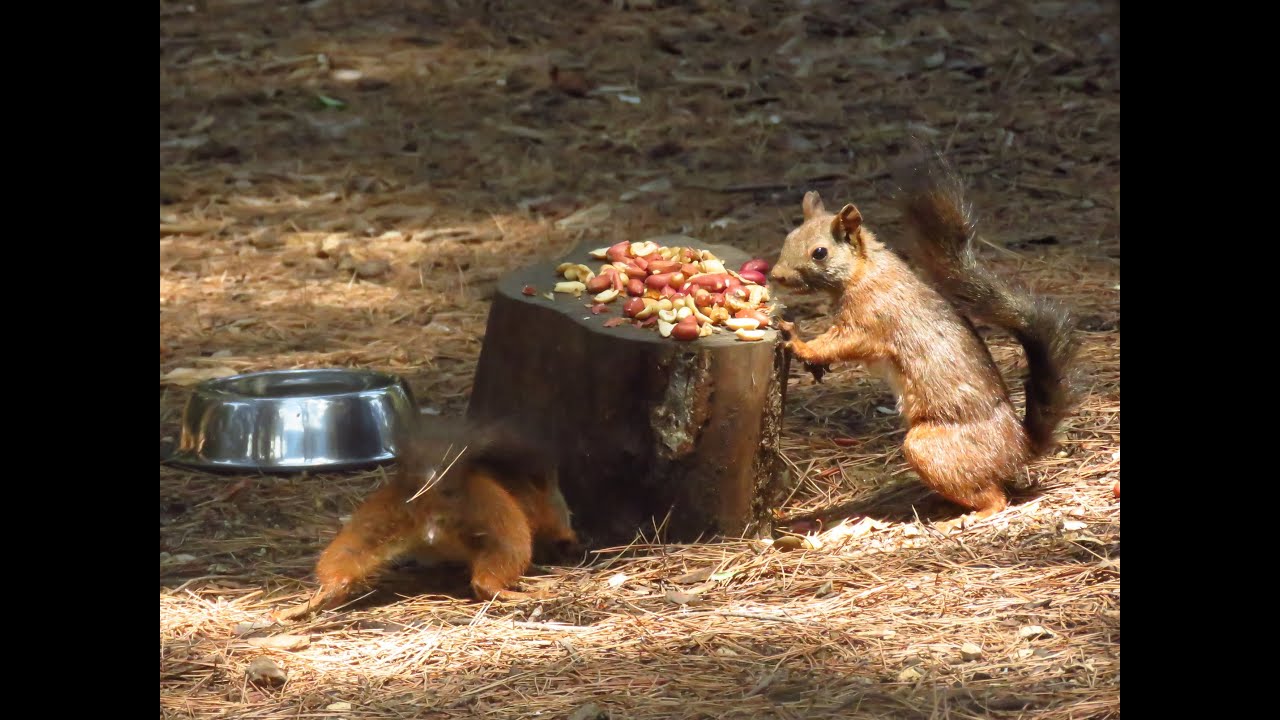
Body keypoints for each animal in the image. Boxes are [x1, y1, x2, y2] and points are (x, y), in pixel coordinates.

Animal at [276, 416, 580, 621]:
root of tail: (432, 491)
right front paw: (568, 542)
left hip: (368, 528)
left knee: (338, 571)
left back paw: (296, 609)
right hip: (504, 529)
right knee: (487, 581)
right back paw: (530, 592)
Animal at [769, 150, 1080, 532]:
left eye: (820, 253)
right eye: (789, 238)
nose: (776, 276)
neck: (864, 272)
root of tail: (1022, 447)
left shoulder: (870, 320)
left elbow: (841, 342)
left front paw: (797, 341)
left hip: (930, 449)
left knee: (995, 497)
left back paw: (964, 518)